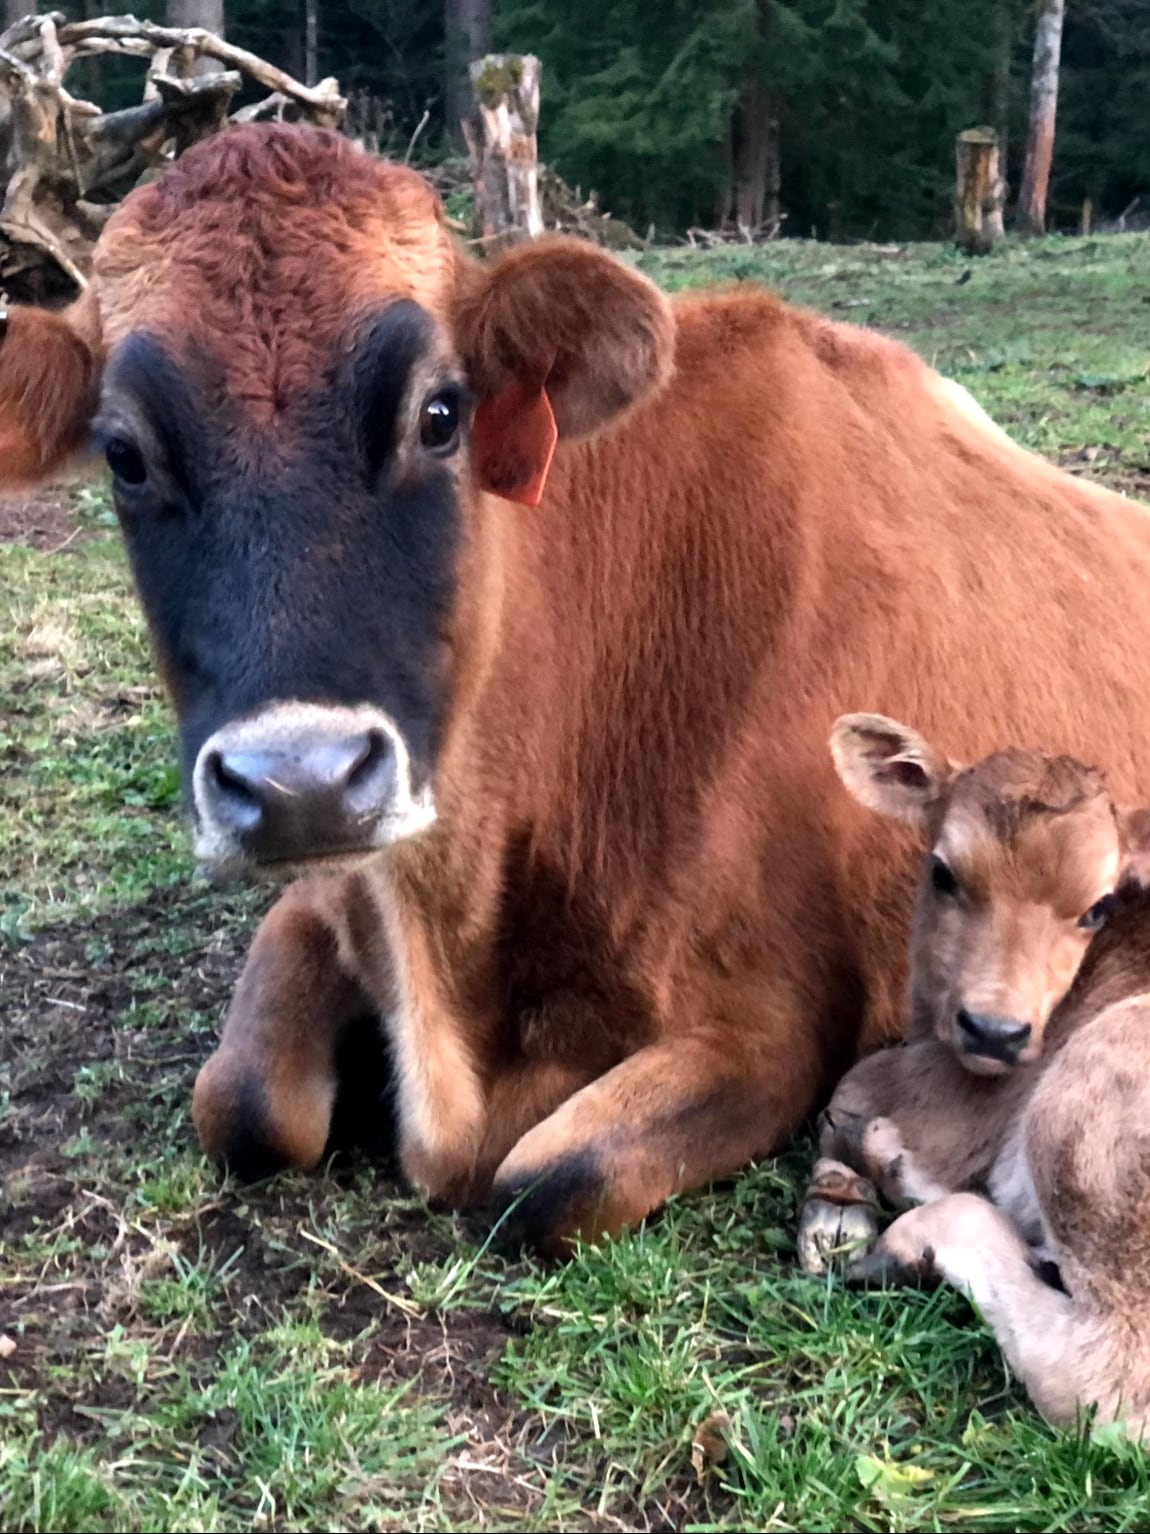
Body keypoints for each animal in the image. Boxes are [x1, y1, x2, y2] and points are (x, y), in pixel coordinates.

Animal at [5, 123, 1150, 1254]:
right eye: (122, 453)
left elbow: (550, 1181)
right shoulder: (329, 889)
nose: (302, 786)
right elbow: (243, 1104)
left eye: (440, 413)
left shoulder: (779, 1022)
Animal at [797, 715, 1150, 1436]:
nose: (995, 1031)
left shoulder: (965, 1106)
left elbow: (850, 1086)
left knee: (1105, 1384)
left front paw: (845, 1199)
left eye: (1097, 908)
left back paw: (911, 1225)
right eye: (942, 871)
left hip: (1081, 1121)